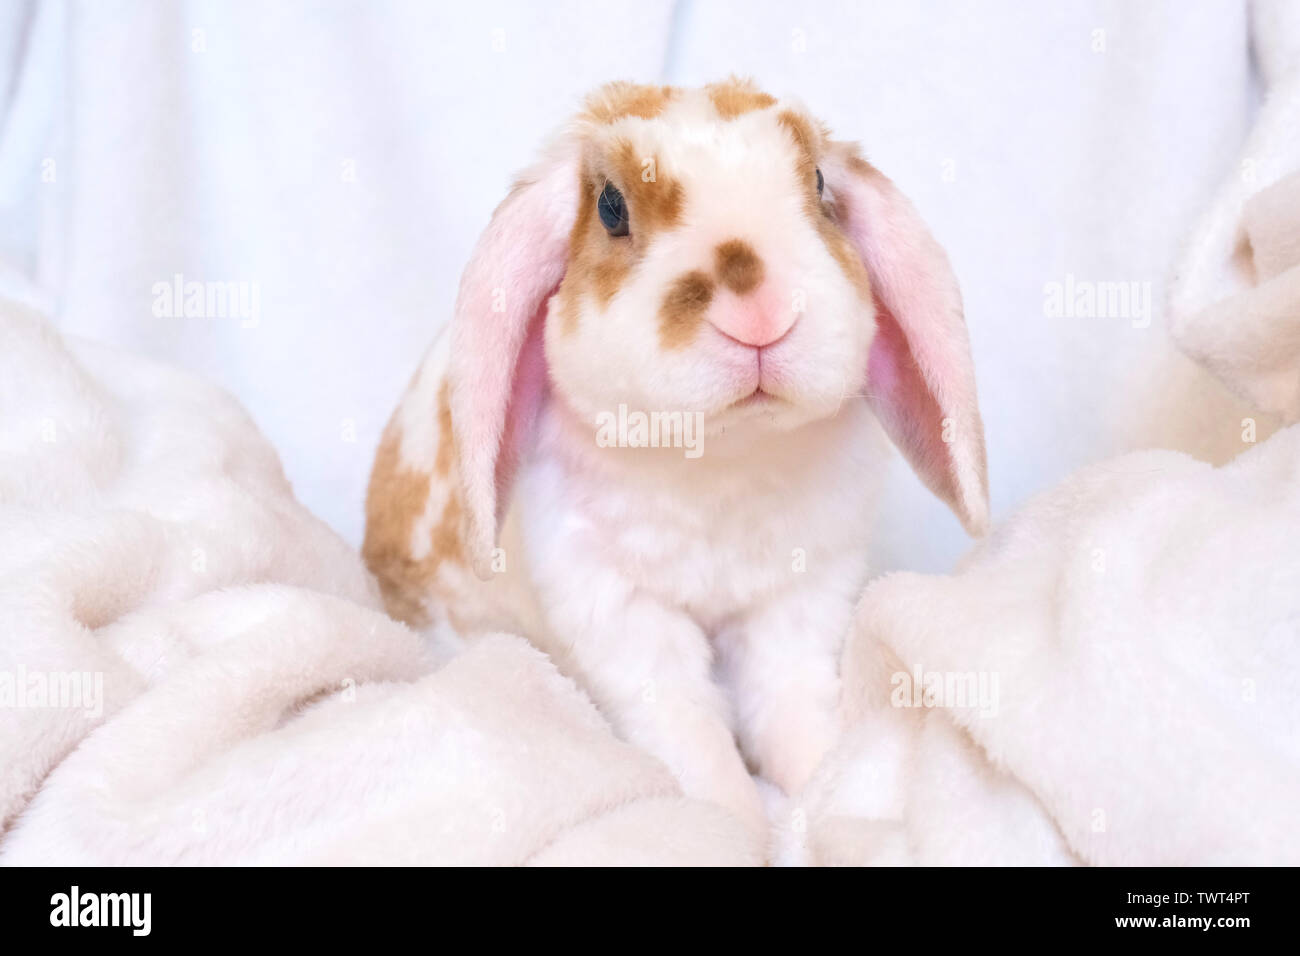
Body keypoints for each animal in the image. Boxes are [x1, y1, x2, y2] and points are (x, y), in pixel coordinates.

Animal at [363, 79, 988, 840]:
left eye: (817, 183)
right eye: (611, 206)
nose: (761, 313)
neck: (719, 457)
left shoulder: (799, 595)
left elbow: (790, 701)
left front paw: (821, 793)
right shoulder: (618, 611)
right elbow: (685, 726)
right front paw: (731, 825)